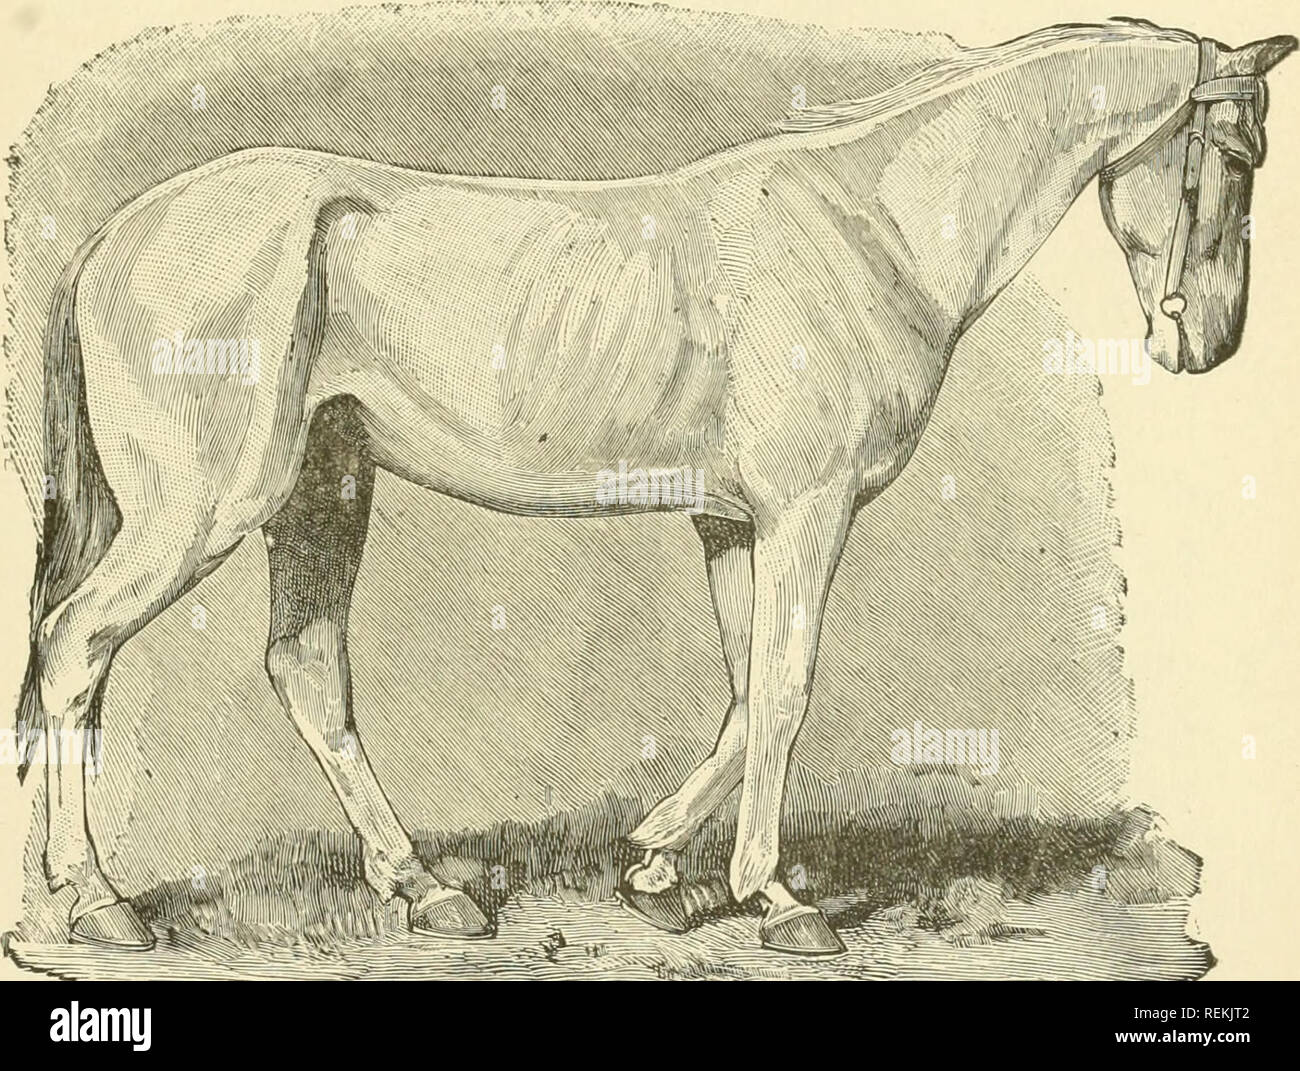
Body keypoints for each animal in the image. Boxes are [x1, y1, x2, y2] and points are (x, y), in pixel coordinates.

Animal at [14, 19, 1294, 956]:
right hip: (207, 509)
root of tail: (113, 238)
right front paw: (778, 902)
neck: (866, 224)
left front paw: (658, 865)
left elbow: (742, 692)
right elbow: (784, 688)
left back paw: (423, 890)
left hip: (320, 492)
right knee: (76, 648)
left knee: (304, 670)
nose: (1208, 344)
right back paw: (101, 905)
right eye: (1236, 160)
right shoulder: (804, 514)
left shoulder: (732, 523)